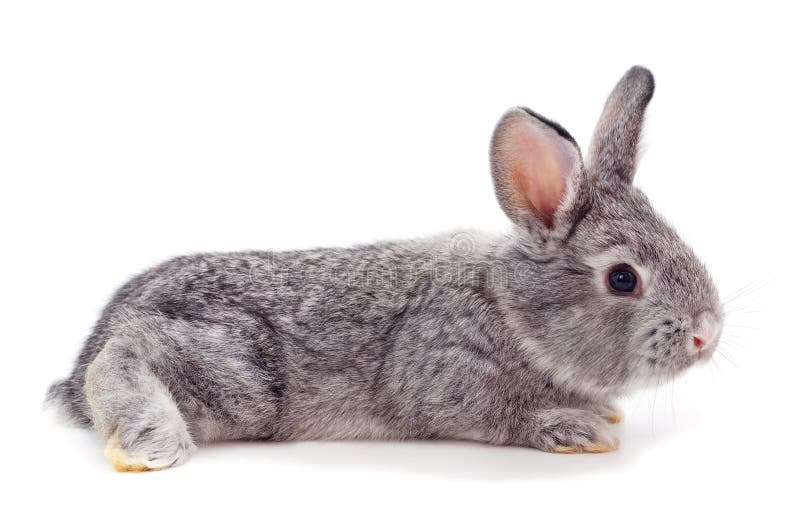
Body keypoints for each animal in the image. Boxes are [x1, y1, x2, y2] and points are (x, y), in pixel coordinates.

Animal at [46, 66, 722, 471]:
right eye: (622, 278)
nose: (706, 335)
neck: (512, 310)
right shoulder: (448, 374)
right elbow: (500, 413)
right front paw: (577, 429)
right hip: (236, 375)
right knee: (128, 355)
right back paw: (152, 440)